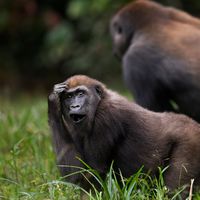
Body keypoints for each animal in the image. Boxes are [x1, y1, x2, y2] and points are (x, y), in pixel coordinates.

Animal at [48, 75, 200, 192]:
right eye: (69, 96)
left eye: (81, 94)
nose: (74, 106)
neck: (101, 99)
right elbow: (77, 171)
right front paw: (54, 100)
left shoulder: (106, 116)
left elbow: (91, 173)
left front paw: (53, 101)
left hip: (191, 139)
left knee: (174, 189)